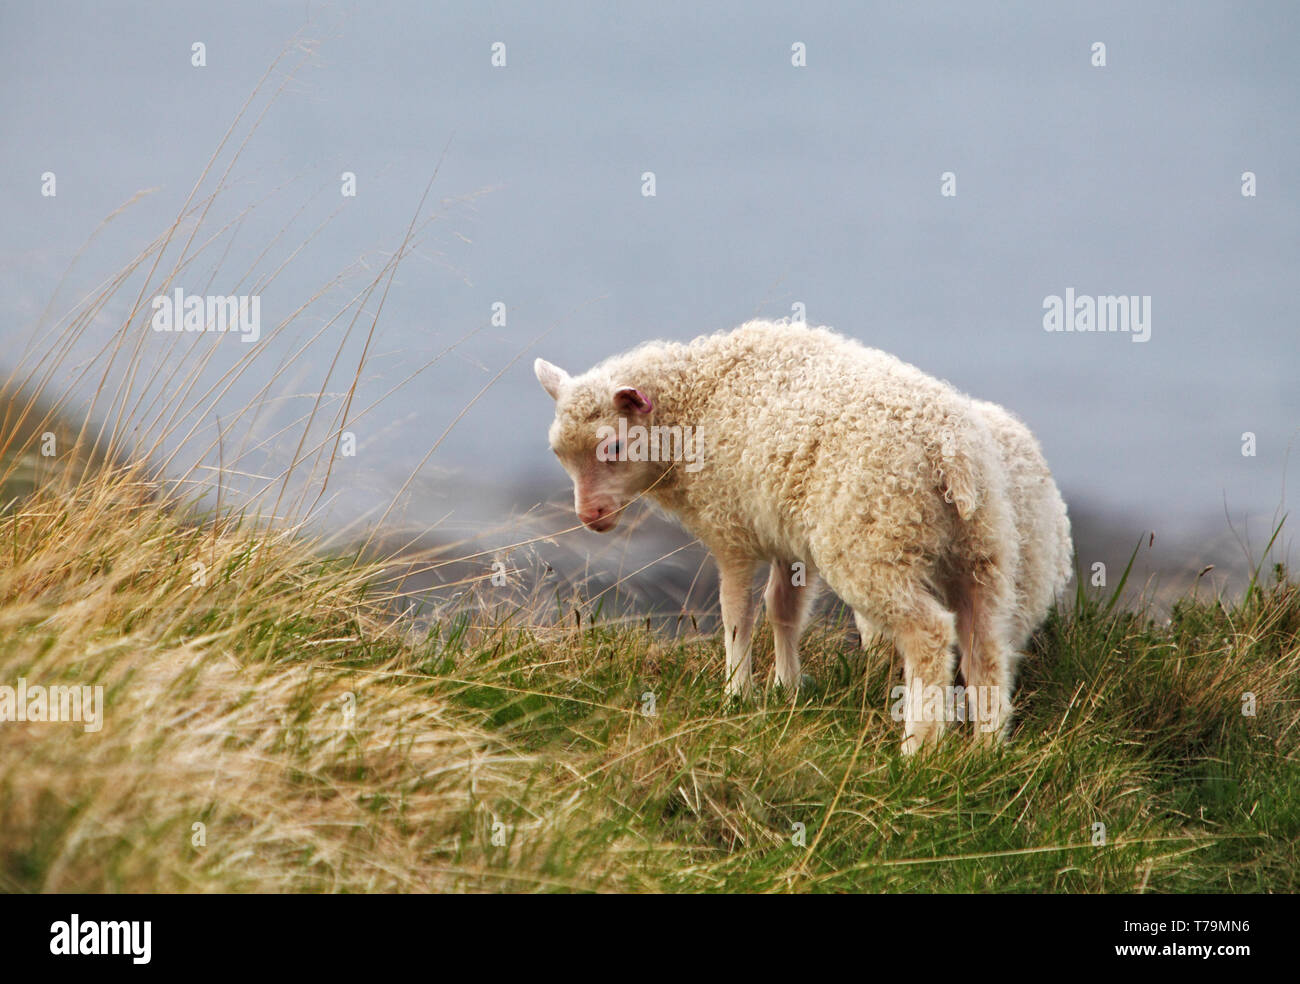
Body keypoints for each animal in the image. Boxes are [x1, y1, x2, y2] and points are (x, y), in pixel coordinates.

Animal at [534, 320, 1072, 753]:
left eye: (613, 447)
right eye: (558, 454)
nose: (590, 517)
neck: (696, 400)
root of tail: (951, 454)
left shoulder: (731, 527)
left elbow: (737, 613)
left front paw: (736, 691)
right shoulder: (786, 538)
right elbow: (783, 608)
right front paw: (786, 688)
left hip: (875, 543)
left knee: (930, 634)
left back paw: (918, 748)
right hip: (983, 552)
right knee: (987, 646)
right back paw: (986, 748)